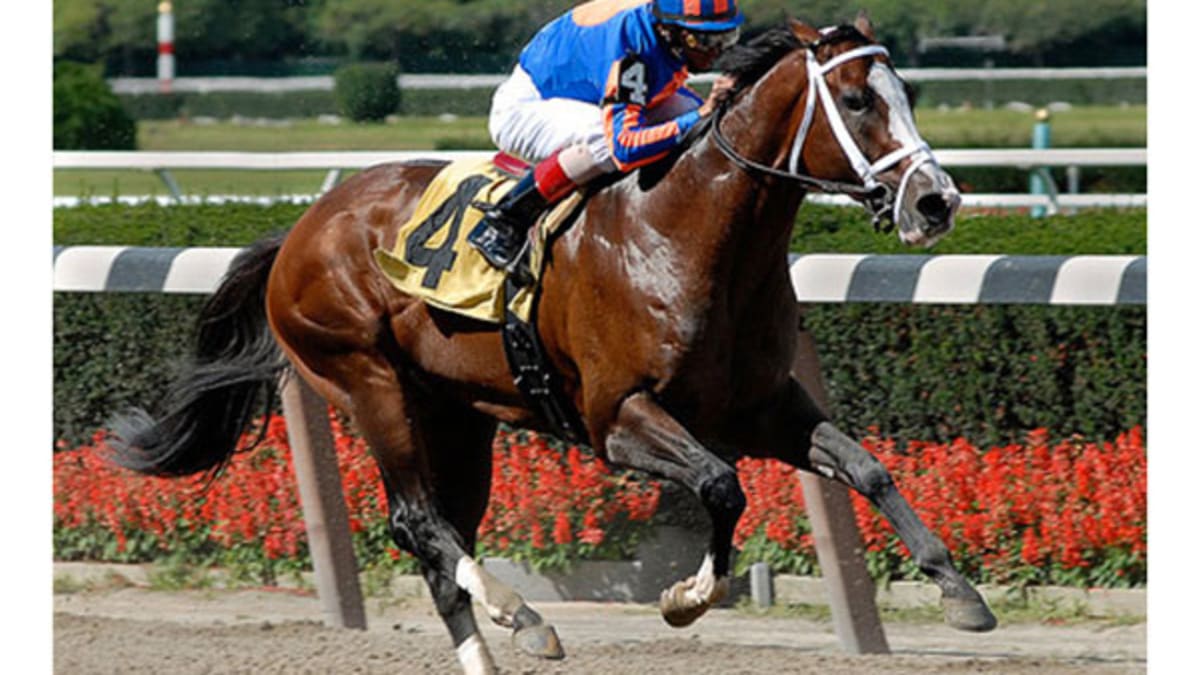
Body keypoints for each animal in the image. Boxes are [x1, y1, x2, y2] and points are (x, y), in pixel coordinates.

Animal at [111, 14, 994, 674]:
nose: (937, 200)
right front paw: (687, 597)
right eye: (855, 98)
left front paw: (959, 590)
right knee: (418, 521)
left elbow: (867, 467)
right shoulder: (618, 418)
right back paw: (521, 611)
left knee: (438, 537)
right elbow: (721, 485)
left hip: (456, 416)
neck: (686, 233)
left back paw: (491, 646)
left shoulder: (760, 405)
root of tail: (301, 227)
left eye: (907, 93)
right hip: (367, 381)